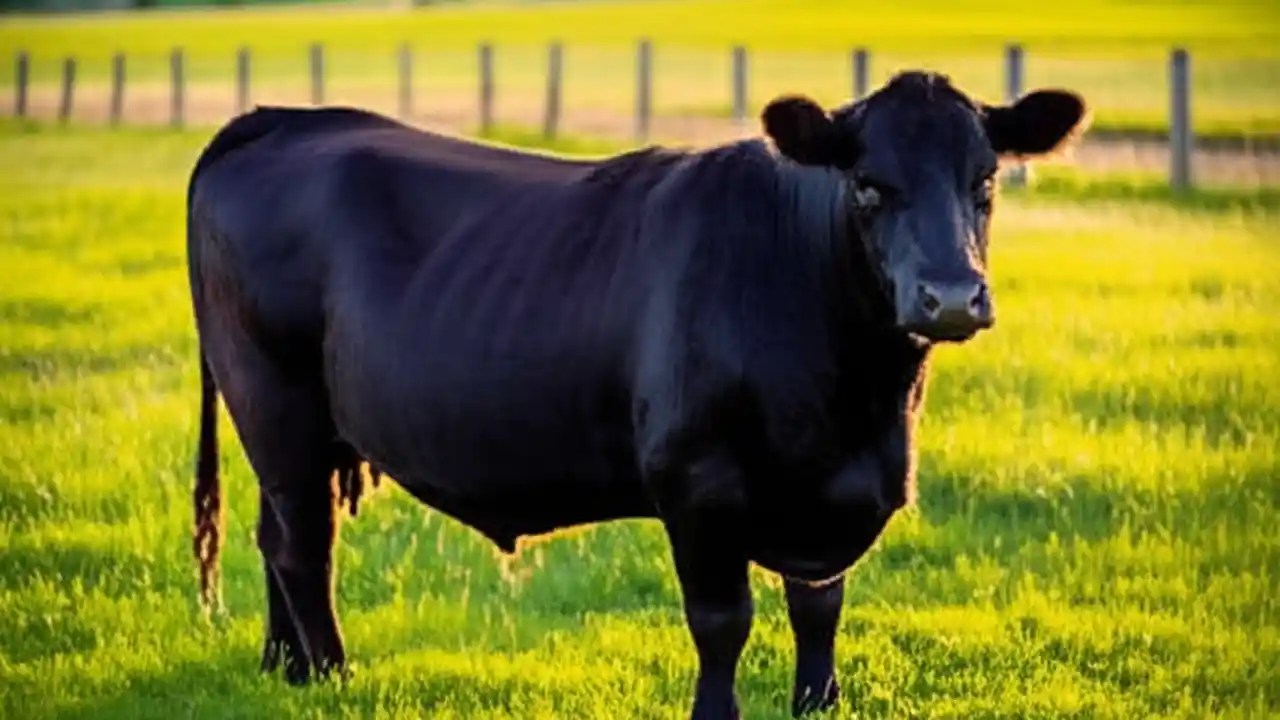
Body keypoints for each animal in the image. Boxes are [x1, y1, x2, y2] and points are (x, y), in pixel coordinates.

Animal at [187, 71, 1086, 719]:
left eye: (986, 180)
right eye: (868, 184)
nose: (951, 297)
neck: (859, 408)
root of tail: (278, 118)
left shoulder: (829, 496)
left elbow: (819, 608)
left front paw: (818, 704)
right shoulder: (698, 482)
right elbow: (723, 622)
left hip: (285, 427)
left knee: (277, 533)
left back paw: (286, 667)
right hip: (275, 402)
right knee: (305, 546)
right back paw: (332, 676)